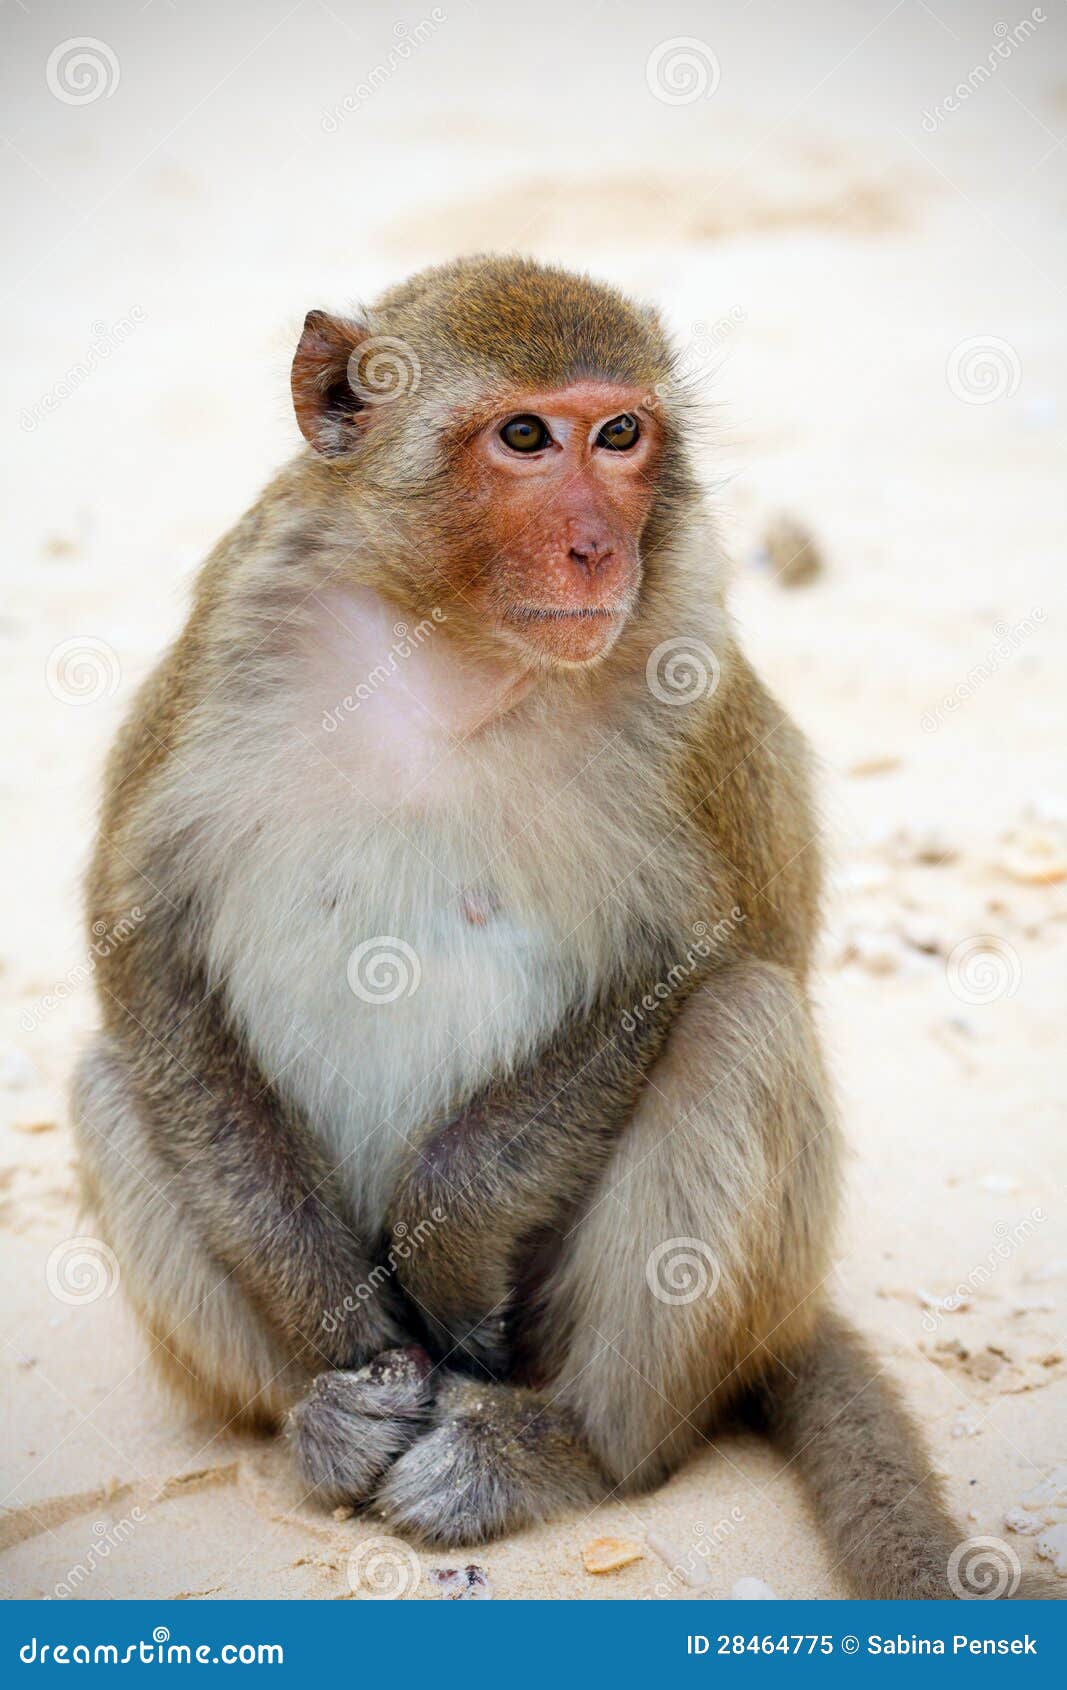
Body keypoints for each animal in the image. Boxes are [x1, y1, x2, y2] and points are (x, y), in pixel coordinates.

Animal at [70, 255, 1051, 1600]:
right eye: (525, 437)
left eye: (620, 434)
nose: (596, 550)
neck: (450, 649)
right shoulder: (238, 621)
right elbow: (144, 934)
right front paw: (340, 1323)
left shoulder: (682, 658)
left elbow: (707, 947)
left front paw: (445, 1236)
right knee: (116, 1075)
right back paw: (314, 1428)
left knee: (741, 1025)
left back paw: (564, 1447)